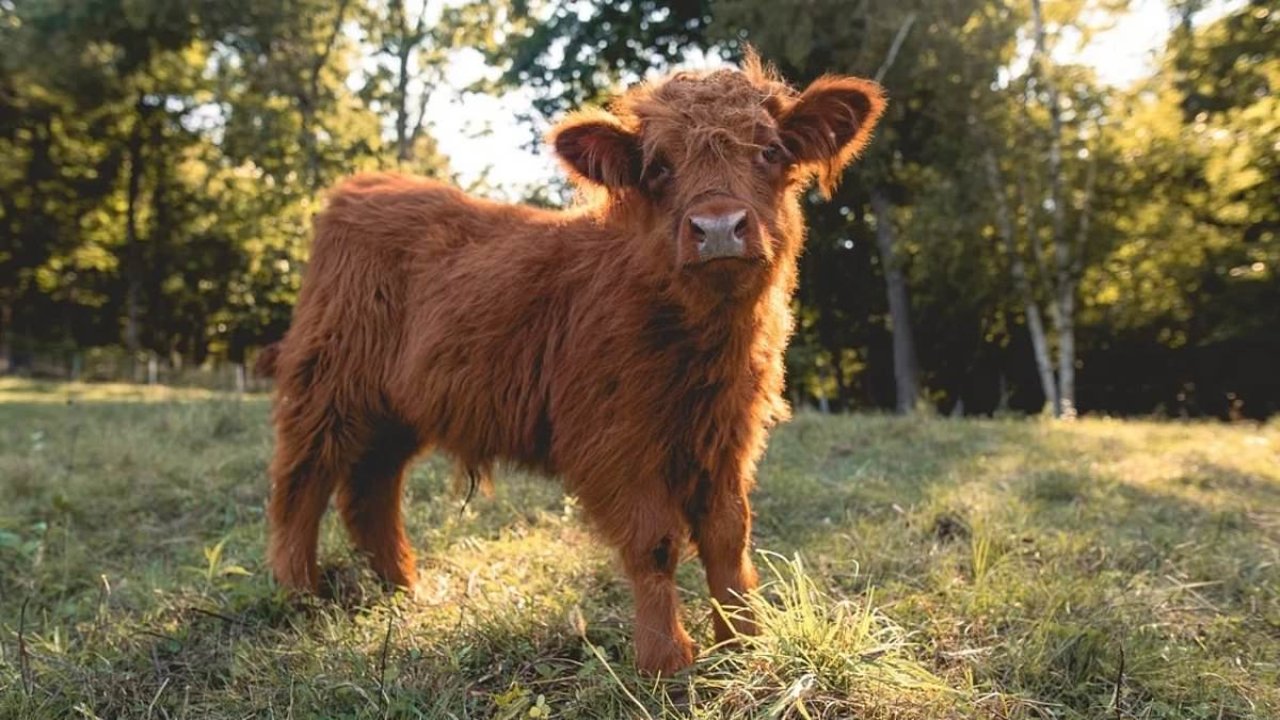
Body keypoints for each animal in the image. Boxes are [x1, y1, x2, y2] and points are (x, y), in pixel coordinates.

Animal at [264, 53, 885, 674]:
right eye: (659, 165)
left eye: (770, 151)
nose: (717, 228)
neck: (700, 341)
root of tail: (366, 185)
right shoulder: (615, 440)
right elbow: (655, 542)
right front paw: (666, 660)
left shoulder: (728, 437)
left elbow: (729, 537)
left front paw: (743, 644)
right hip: (328, 385)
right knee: (302, 481)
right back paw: (300, 592)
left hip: (396, 409)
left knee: (370, 490)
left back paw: (402, 587)